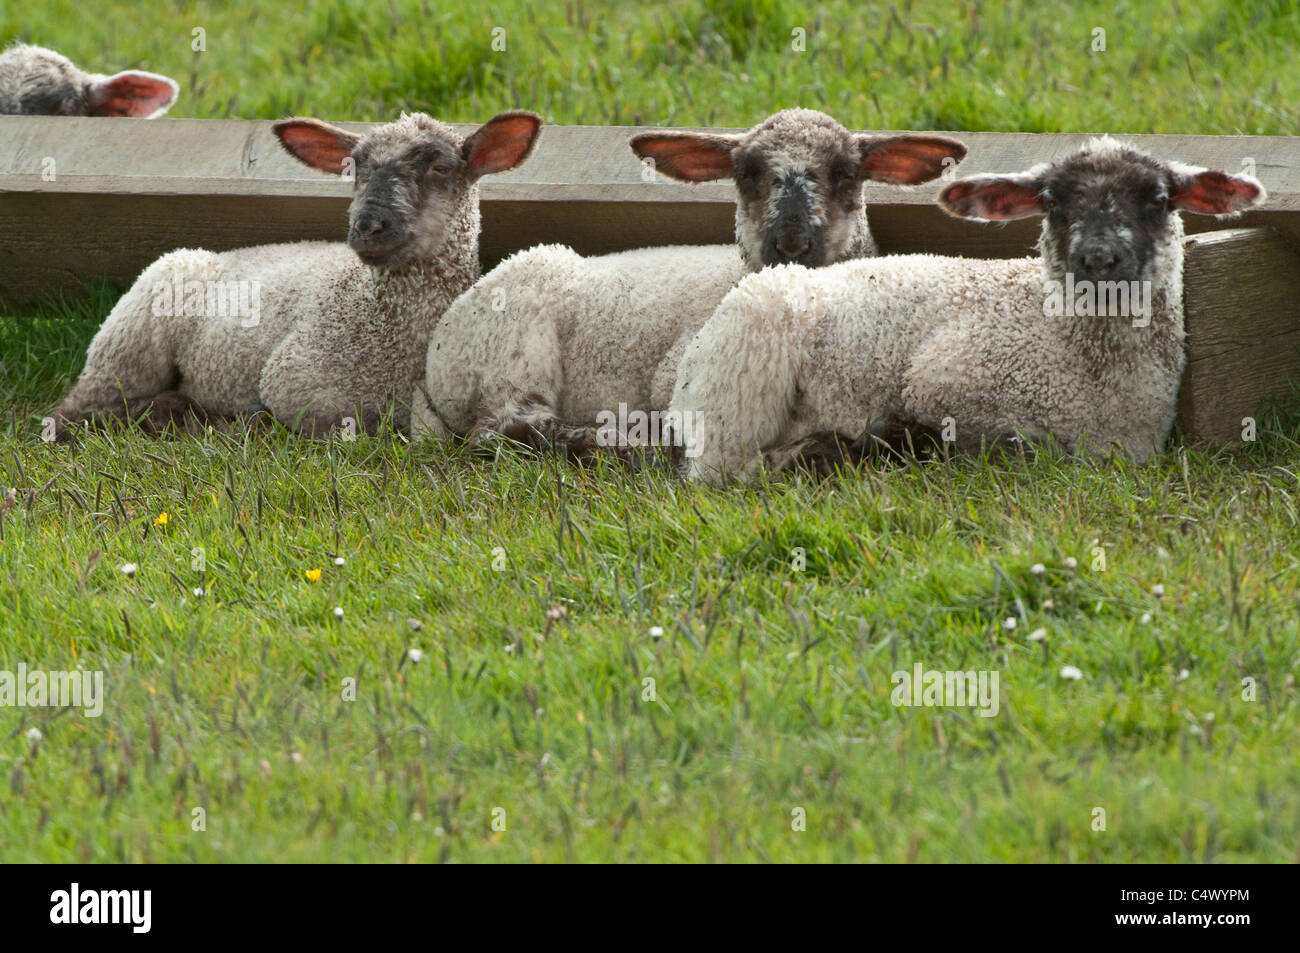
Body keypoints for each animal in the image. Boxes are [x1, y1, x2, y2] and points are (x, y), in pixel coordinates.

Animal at [54, 110, 542, 438]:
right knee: (81, 404)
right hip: (129, 337)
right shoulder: (292, 380)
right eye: (353, 168)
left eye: (441, 167)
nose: (368, 226)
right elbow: (346, 429)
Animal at [410, 109, 967, 458]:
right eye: (745, 173)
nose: (789, 243)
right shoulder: (676, 373)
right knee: (503, 430)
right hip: (511, 350)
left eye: (847, 172)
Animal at [671, 137, 1265, 481]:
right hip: (736, 394)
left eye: (1159, 200)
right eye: (1052, 203)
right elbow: (1006, 442)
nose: (1098, 259)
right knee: (724, 474)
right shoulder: (941, 382)